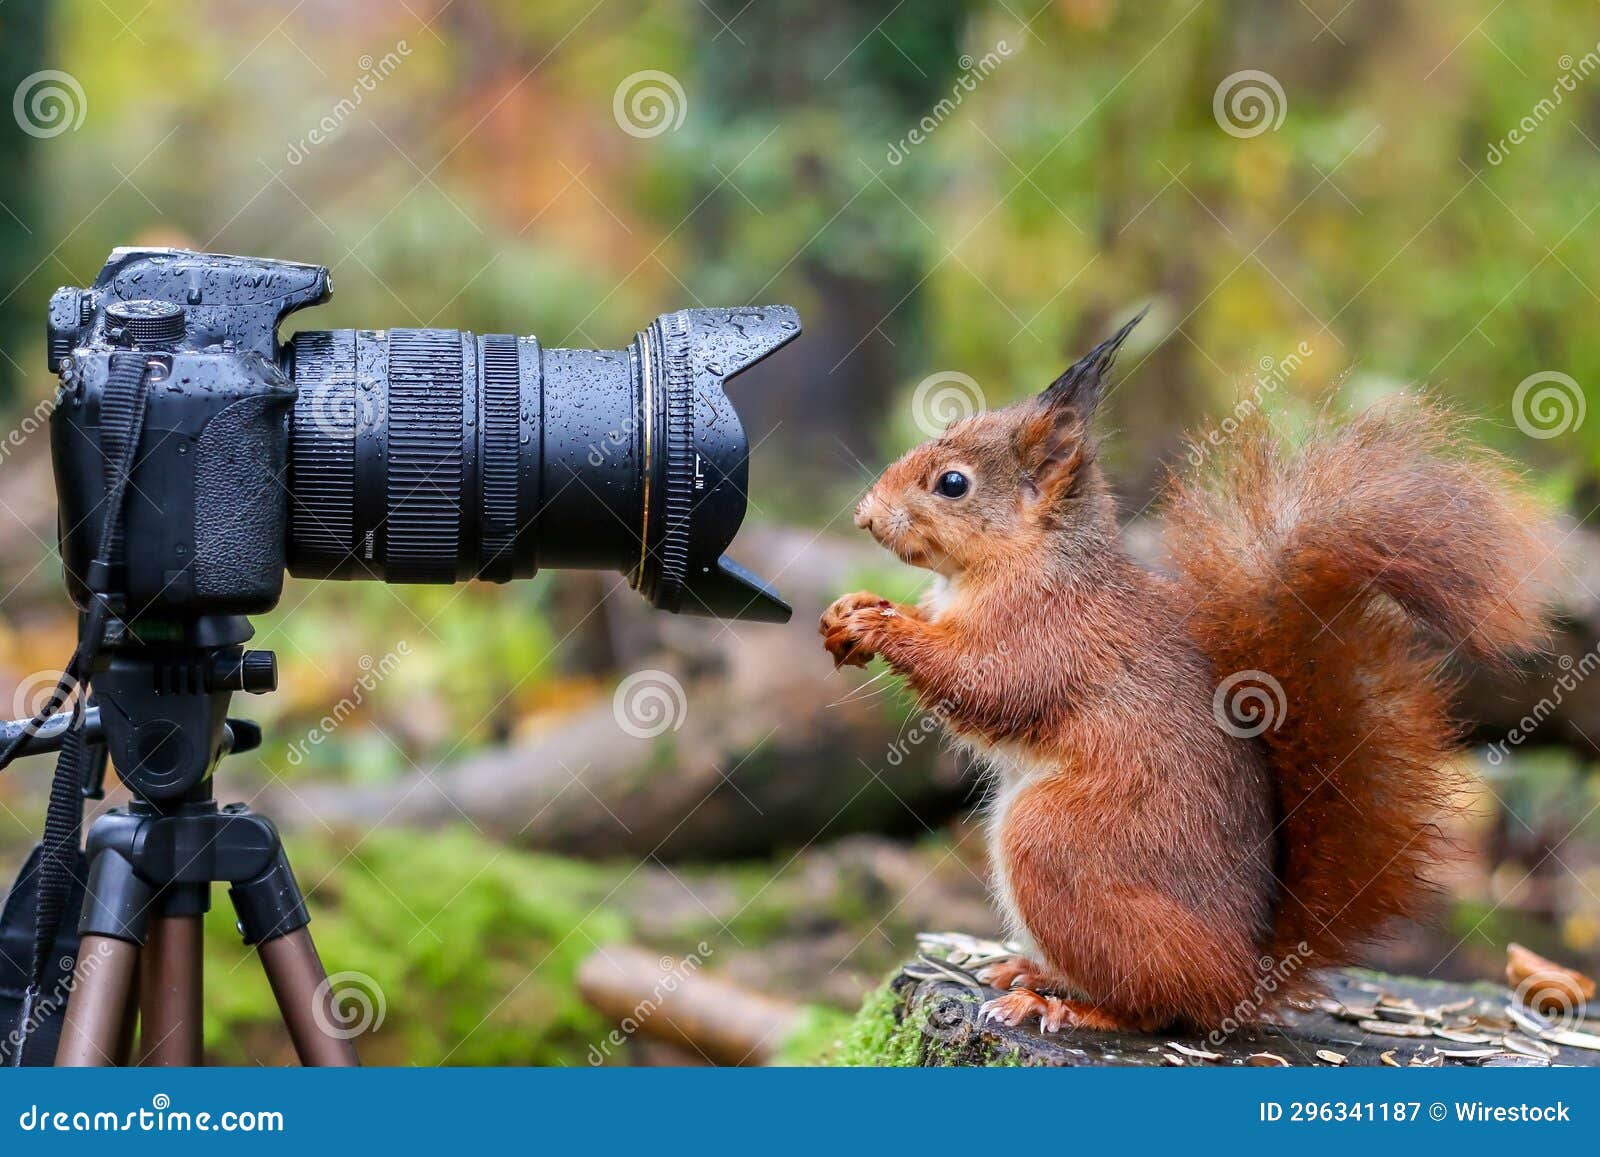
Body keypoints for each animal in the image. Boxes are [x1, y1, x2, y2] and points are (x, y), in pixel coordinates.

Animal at [821, 313, 1555, 1034]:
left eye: (953, 483)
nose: (863, 514)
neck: (1025, 558)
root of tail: (1242, 974)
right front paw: (854, 608)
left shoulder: (1048, 633)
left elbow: (985, 684)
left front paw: (884, 627)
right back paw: (1032, 971)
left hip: (1056, 846)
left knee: (1150, 1005)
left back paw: (1063, 1002)